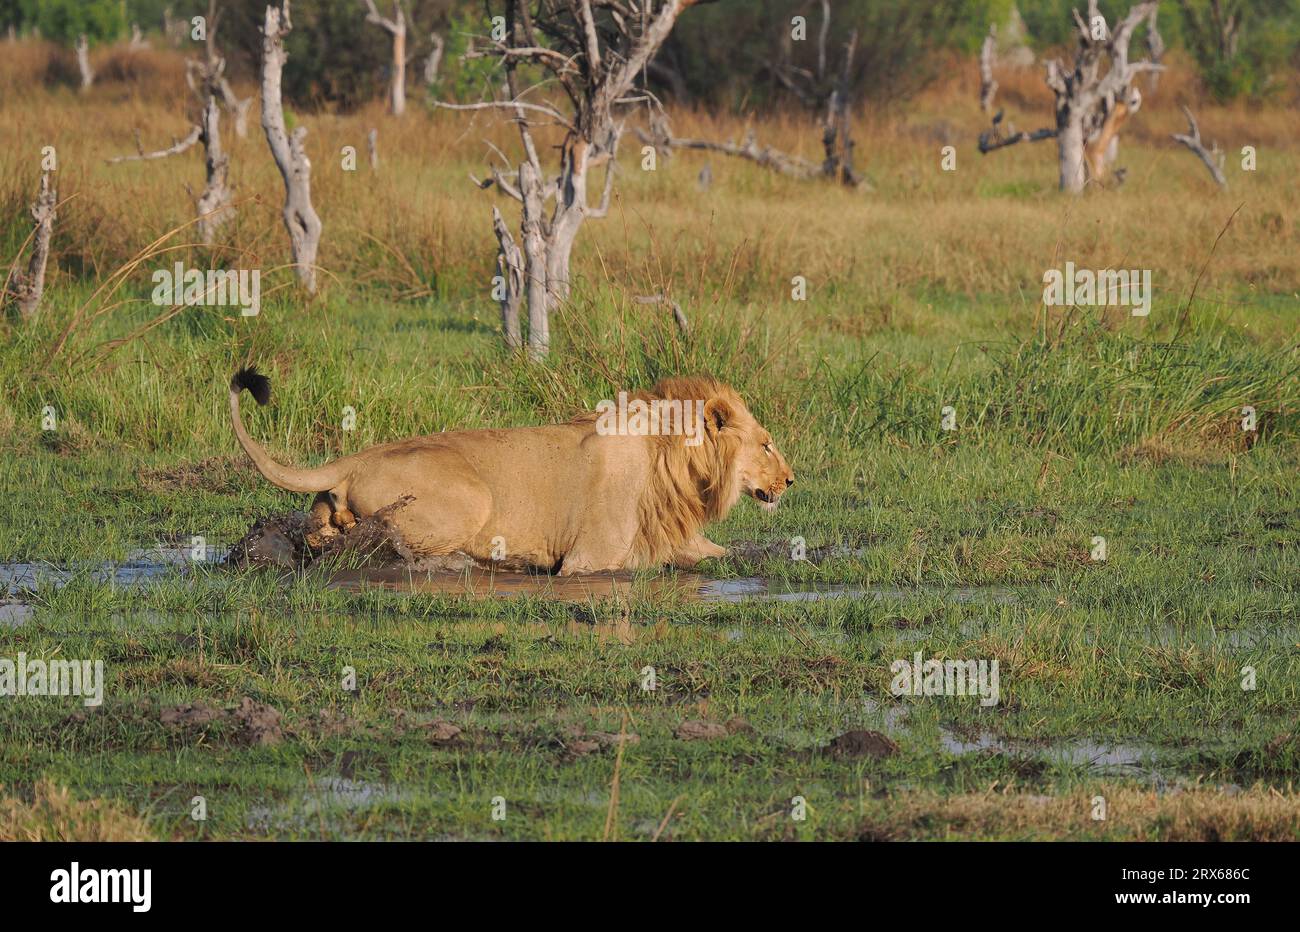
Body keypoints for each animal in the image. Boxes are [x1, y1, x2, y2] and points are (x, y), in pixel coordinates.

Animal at [228, 368, 794, 574]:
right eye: (767, 445)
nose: (791, 480)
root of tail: (359, 457)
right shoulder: (591, 559)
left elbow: (725, 553)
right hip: (472, 499)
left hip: (323, 512)